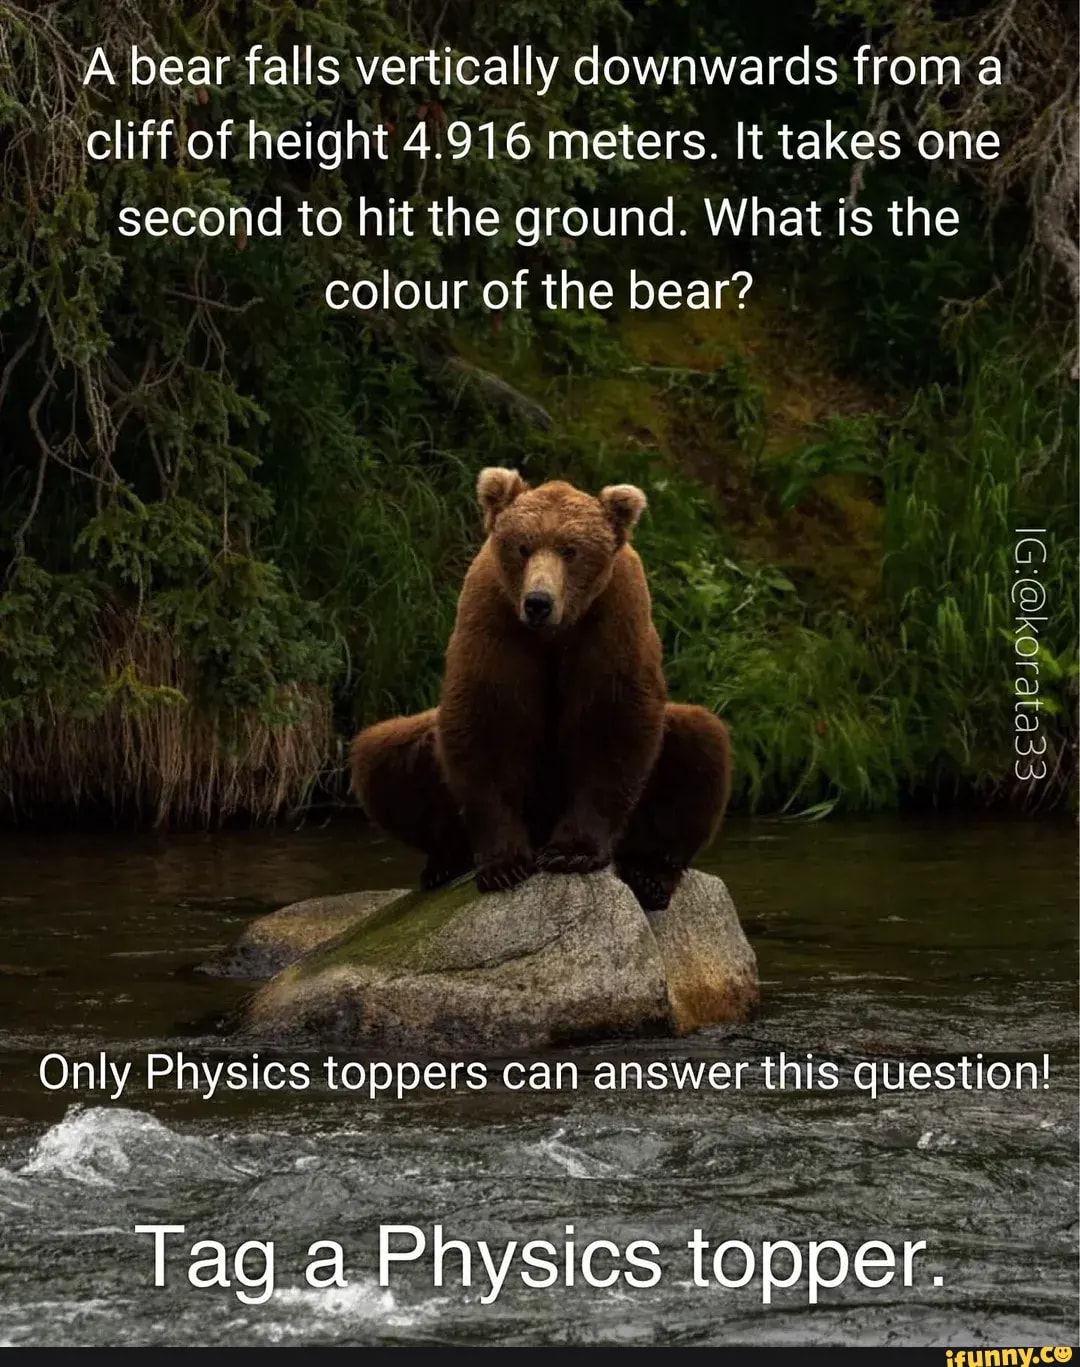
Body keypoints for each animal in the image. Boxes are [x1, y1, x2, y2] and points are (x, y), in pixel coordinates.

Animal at [350, 468, 731, 911]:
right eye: (522, 546)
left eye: (571, 550)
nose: (538, 602)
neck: (554, 633)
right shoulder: (493, 620)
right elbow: (487, 723)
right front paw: (504, 864)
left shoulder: (613, 620)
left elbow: (612, 725)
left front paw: (572, 851)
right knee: (382, 751)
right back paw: (446, 861)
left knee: (700, 742)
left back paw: (650, 874)